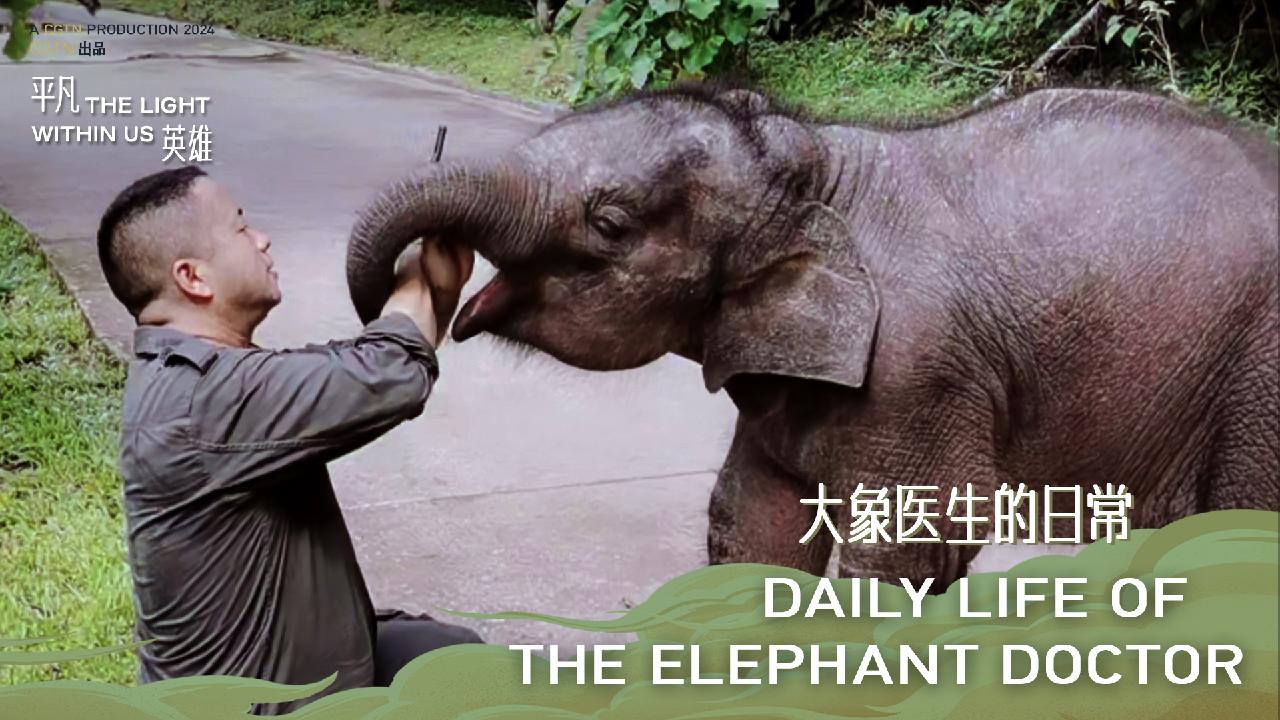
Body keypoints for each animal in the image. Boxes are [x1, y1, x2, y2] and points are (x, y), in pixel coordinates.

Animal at [345, 83, 1279, 590]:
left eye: (610, 223)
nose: (433, 270)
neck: (822, 169)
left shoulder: (917, 377)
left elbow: (909, 544)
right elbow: (750, 525)